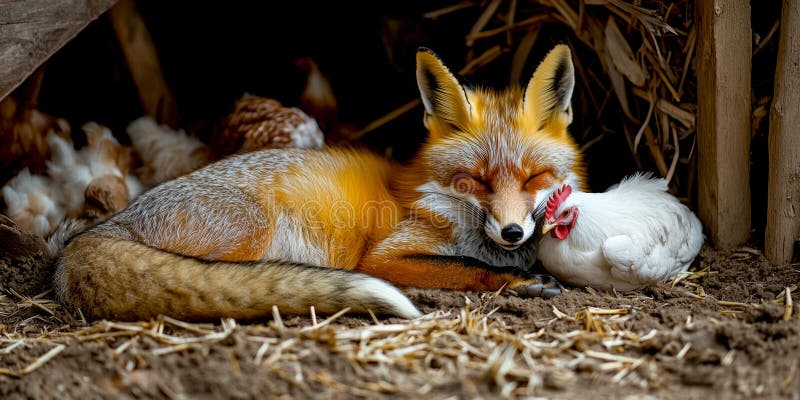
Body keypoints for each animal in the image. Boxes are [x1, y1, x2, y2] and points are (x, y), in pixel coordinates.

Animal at [54, 45, 586, 321]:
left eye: (535, 176)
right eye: (475, 180)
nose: (513, 233)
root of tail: (97, 232)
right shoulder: (386, 256)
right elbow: (465, 266)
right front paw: (517, 281)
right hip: (252, 229)